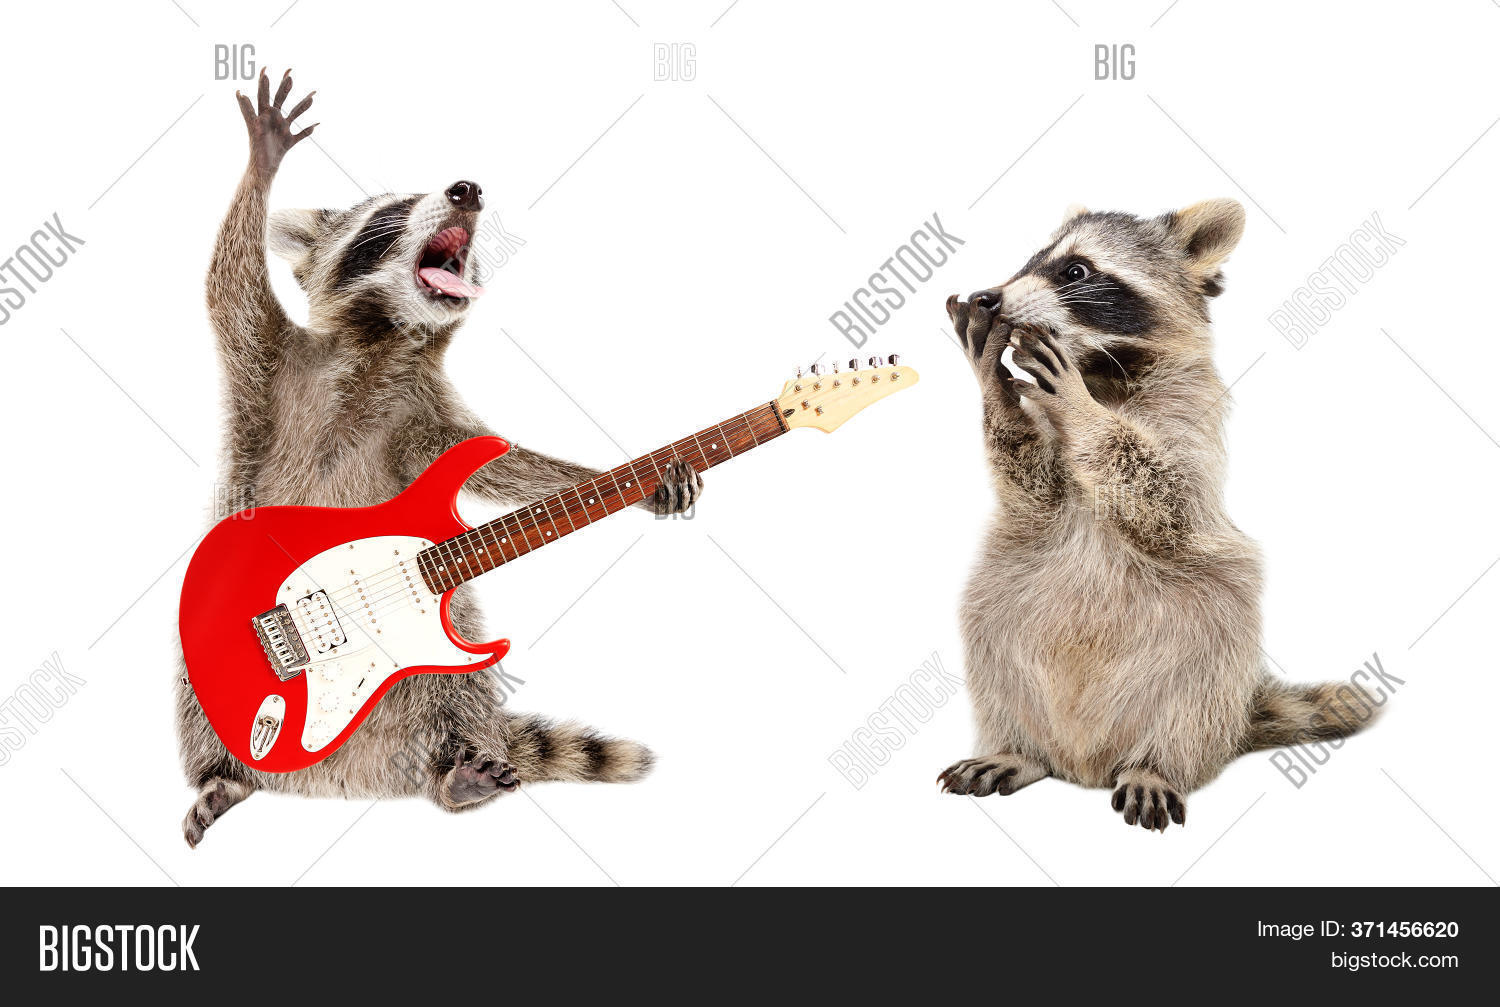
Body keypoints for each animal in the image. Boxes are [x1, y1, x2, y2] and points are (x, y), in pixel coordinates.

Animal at [177, 70, 702, 847]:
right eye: (394, 209)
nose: (467, 189)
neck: (384, 338)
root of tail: (339, 777)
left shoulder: (427, 421)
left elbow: (504, 462)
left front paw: (643, 481)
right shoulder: (270, 363)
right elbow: (227, 287)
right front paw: (263, 158)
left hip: (444, 670)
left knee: (454, 686)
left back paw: (453, 775)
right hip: (206, 647)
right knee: (197, 692)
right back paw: (226, 774)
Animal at [937, 200, 1378, 831]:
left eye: (1074, 271)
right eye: (1027, 262)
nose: (985, 298)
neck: (1100, 371)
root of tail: (1087, 762)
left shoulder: (1193, 417)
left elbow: (1167, 503)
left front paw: (1079, 411)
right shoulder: (1037, 490)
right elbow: (1032, 494)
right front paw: (994, 387)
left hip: (1211, 652)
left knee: (1203, 670)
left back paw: (1157, 763)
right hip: (1004, 610)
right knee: (989, 625)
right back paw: (1019, 747)